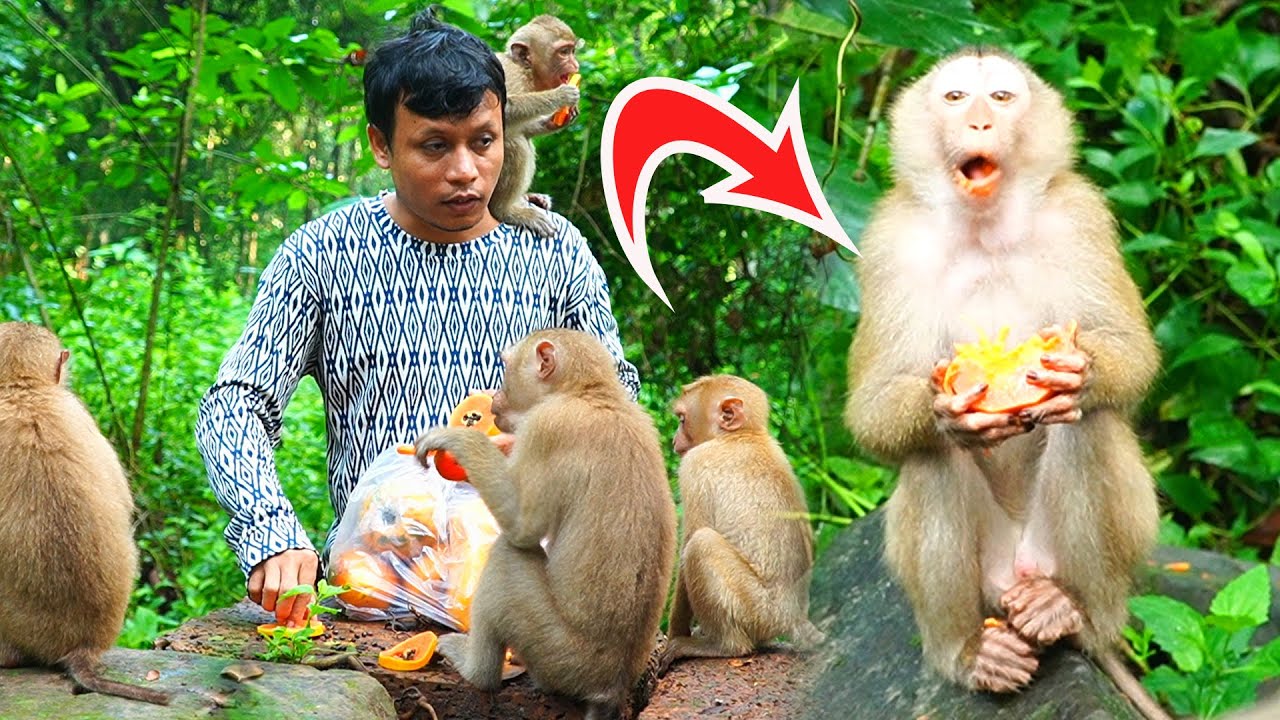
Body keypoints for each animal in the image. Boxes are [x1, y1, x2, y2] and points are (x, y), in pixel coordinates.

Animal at [415, 329, 676, 720]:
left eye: (506, 365)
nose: (495, 396)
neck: (589, 393)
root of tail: (611, 687)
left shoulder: (546, 427)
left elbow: (522, 524)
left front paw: (460, 440)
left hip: (559, 656)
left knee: (507, 557)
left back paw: (477, 671)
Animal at [491, 15, 582, 237]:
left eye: (572, 51)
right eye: (564, 52)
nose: (575, 64)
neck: (527, 71)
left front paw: (557, 120)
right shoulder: (511, 75)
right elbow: (504, 111)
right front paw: (560, 96)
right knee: (514, 142)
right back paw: (505, 210)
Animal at [658, 375, 823, 675]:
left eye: (682, 420)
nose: (675, 440)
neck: (743, 435)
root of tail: (793, 616)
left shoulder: (695, 464)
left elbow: (690, 538)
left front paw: (675, 634)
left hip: (757, 610)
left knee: (702, 543)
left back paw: (723, 645)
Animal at [842, 49, 1169, 720]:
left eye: (1000, 97)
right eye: (955, 97)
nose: (979, 124)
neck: (984, 229)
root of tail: (1018, 570)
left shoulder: (1079, 217)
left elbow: (1128, 352)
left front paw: (1082, 374)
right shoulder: (889, 245)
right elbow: (877, 407)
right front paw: (945, 414)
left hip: (1070, 559)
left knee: (1087, 428)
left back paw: (1072, 612)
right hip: (985, 583)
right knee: (931, 461)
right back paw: (969, 654)